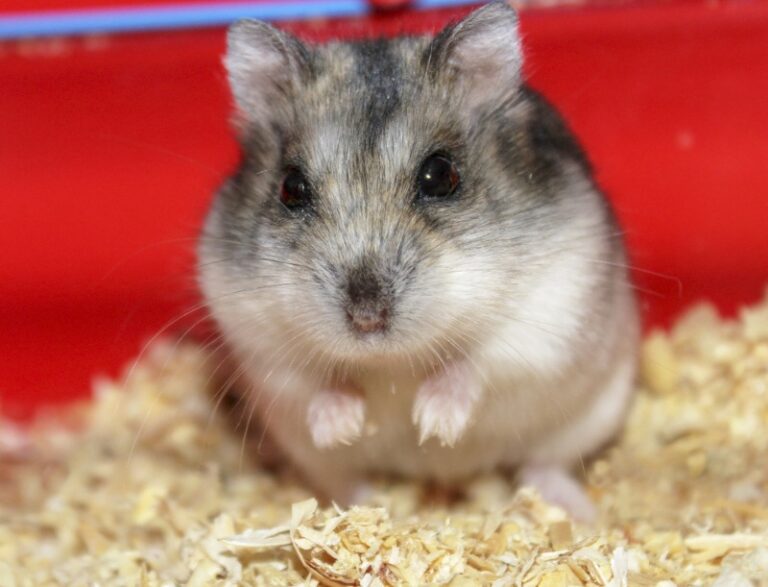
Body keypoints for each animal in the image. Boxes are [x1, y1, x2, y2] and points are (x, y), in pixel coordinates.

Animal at [198, 2, 639, 519]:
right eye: (291, 187)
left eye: (441, 176)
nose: (367, 317)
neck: (391, 361)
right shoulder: (256, 338)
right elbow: (315, 377)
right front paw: (340, 427)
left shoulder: (546, 315)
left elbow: (477, 362)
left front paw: (433, 424)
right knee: (348, 482)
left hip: (589, 416)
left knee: (542, 467)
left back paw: (584, 516)